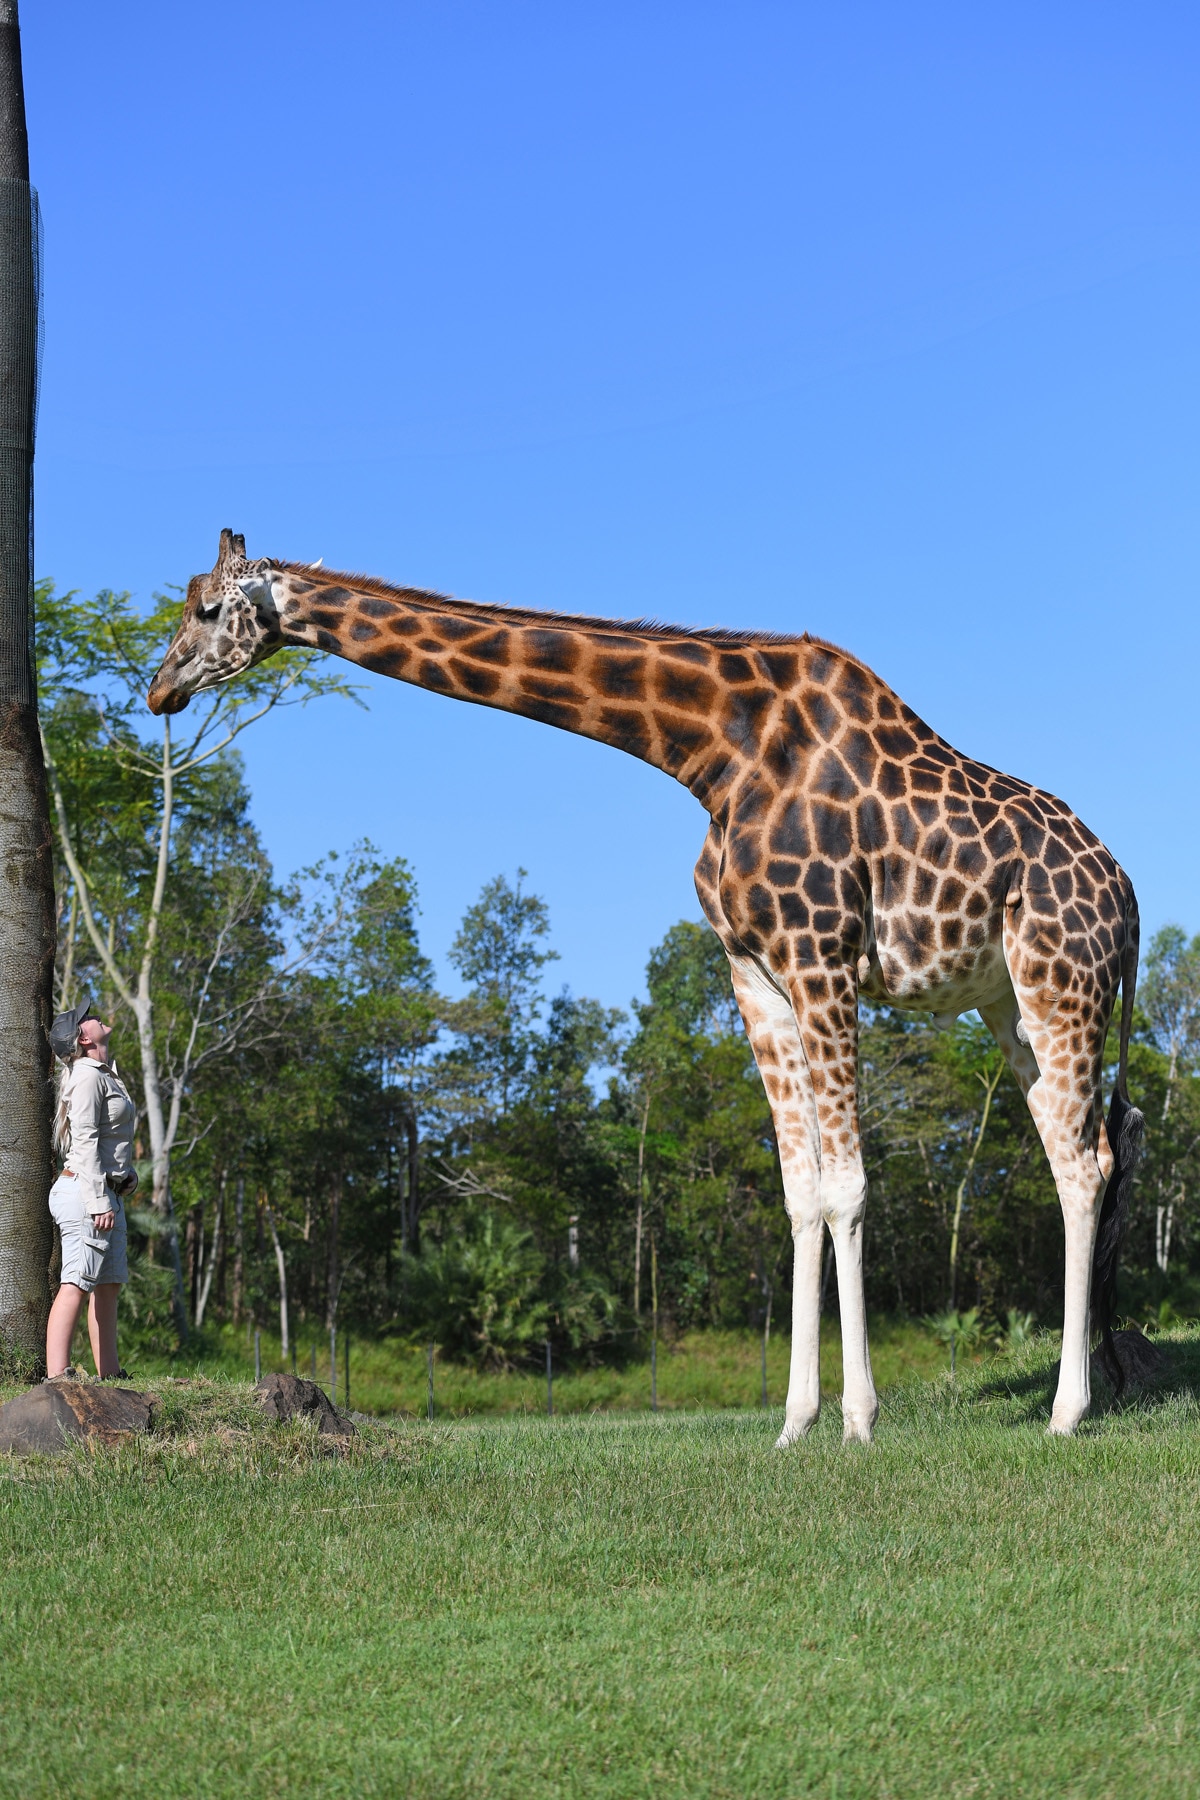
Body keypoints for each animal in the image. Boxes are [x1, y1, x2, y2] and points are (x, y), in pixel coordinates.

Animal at [150, 525, 1144, 1440]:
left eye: (203, 609)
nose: (159, 690)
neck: (711, 750)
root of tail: (1128, 896)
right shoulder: (754, 971)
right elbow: (802, 1192)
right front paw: (795, 1423)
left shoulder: (822, 953)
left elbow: (851, 1186)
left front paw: (860, 1420)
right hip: (1009, 1004)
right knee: (1078, 1155)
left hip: (1063, 985)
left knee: (1084, 1164)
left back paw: (1067, 1412)